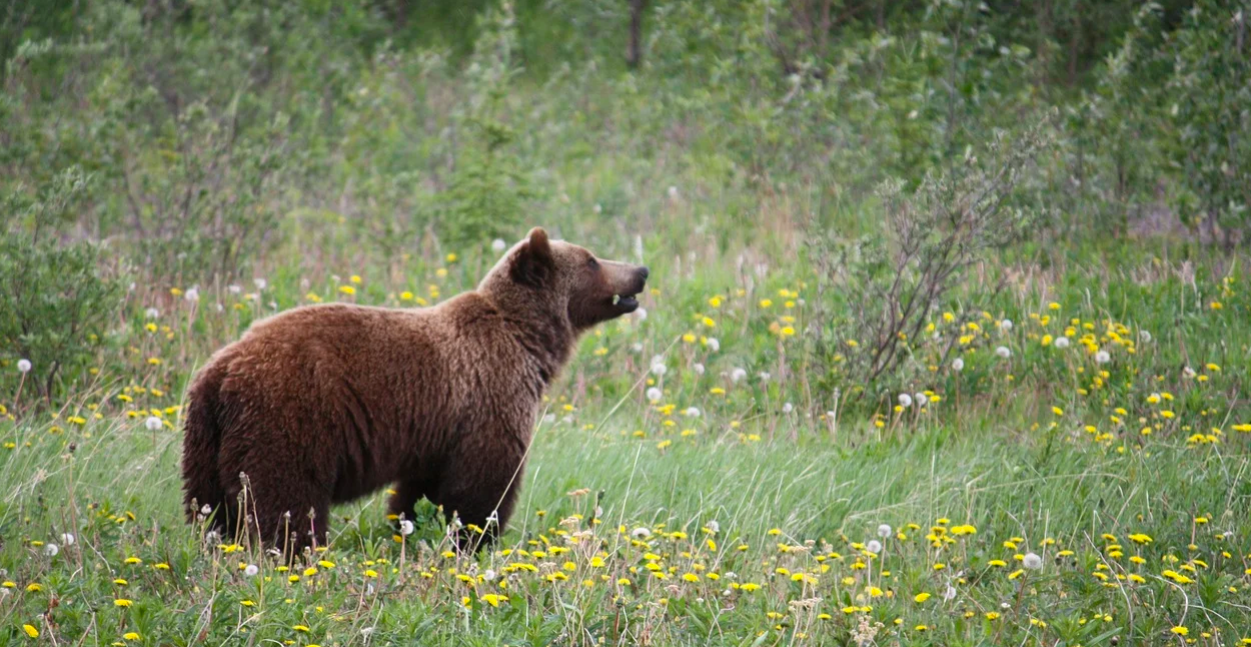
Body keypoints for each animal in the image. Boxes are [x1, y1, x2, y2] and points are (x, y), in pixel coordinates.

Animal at [180, 227, 648, 551]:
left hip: (205, 441)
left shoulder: (438, 429)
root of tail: (221, 371)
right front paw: (474, 540)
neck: (528, 342)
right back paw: (294, 553)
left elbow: (420, 491)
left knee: (209, 509)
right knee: (285, 500)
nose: (640, 271)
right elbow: (482, 486)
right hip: (289, 416)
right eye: (591, 260)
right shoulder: (489, 396)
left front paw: (410, 529)